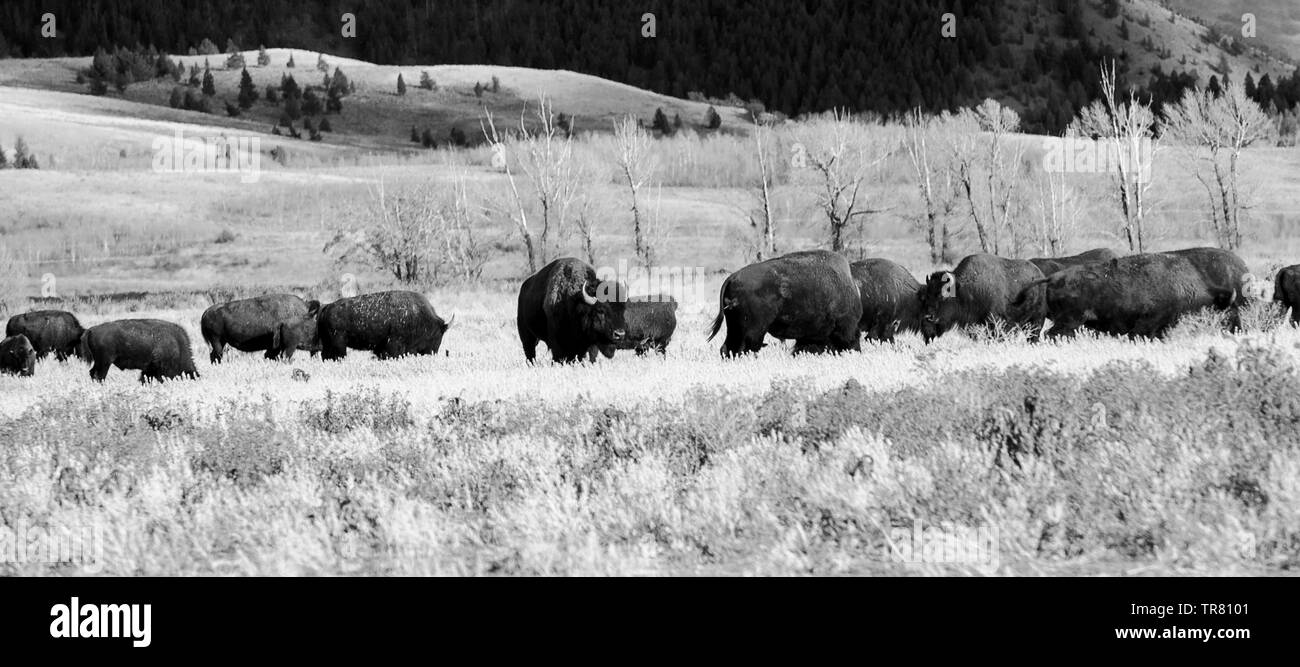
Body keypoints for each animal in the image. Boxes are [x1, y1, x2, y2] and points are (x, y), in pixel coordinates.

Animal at [317, 291, 450, 361]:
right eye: (436, 335)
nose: (432, 353)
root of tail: (327, 307)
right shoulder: (394, 345)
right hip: (339, 344)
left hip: (328, 343)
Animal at [708, 250, 862, 356]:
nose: (857, 349)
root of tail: (732, 277)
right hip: (752, 331)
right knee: (745, 349)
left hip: (735, 327)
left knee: (727, 349)